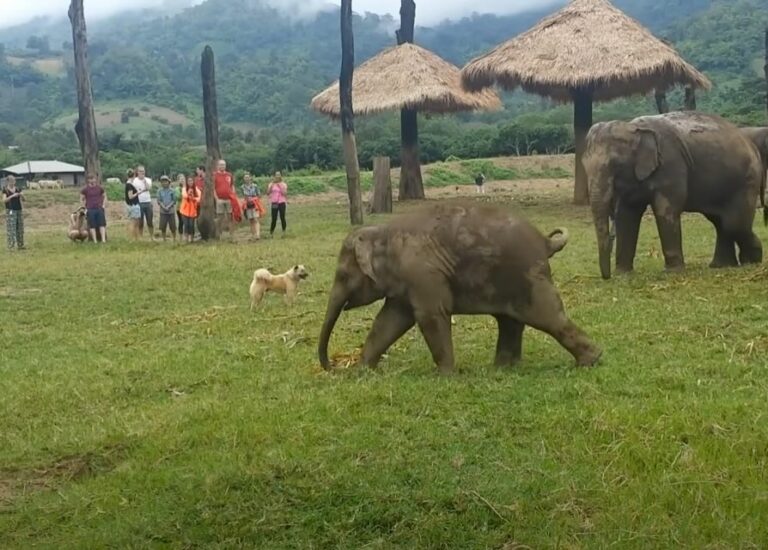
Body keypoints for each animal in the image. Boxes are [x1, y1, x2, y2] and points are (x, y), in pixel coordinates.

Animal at [318, 201, 602, 375]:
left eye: (342, 275)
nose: (333, 367)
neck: (383, 232)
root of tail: (545, 241)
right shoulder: (407, 283)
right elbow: (390, 320)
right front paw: (363, 371)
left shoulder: (423, 275)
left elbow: (430, 316)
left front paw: (445, 375)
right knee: (510, 320)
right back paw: (502, 369)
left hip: (529, 276)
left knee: (548, 317)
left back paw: (592, 360)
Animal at [584, 112, 764, 280]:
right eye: (583, 166)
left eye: (616, 164)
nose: (607, 277)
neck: (633, 127)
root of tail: (752, 146)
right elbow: (627, 215)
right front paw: (622, 274)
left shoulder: (671, 165)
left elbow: (666, 210)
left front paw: (673, 272)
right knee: (721, 222)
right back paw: (721, 265)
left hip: (747, 180)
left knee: (733, 223)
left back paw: (752, 260)